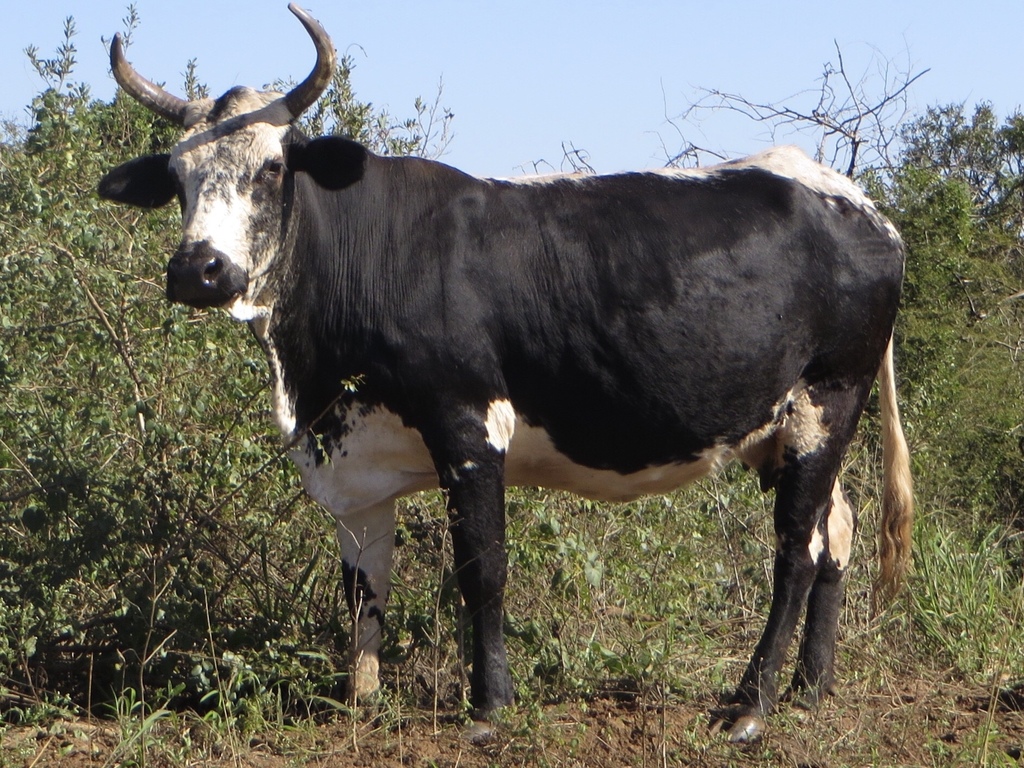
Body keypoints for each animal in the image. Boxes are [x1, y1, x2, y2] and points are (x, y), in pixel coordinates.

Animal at [97, 3, 913, 744]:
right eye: (177, 177)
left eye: (270, 168)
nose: (198, 269)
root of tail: (858, 203)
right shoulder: (357, 460)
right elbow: (363, 587)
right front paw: (361, 702)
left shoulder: (467, 422)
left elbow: (480, 568)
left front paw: (489, 707)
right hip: (779, 427)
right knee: (835, 531)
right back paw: (811, 687)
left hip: (826, 401)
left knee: (794, 551)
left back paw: (750, 706)